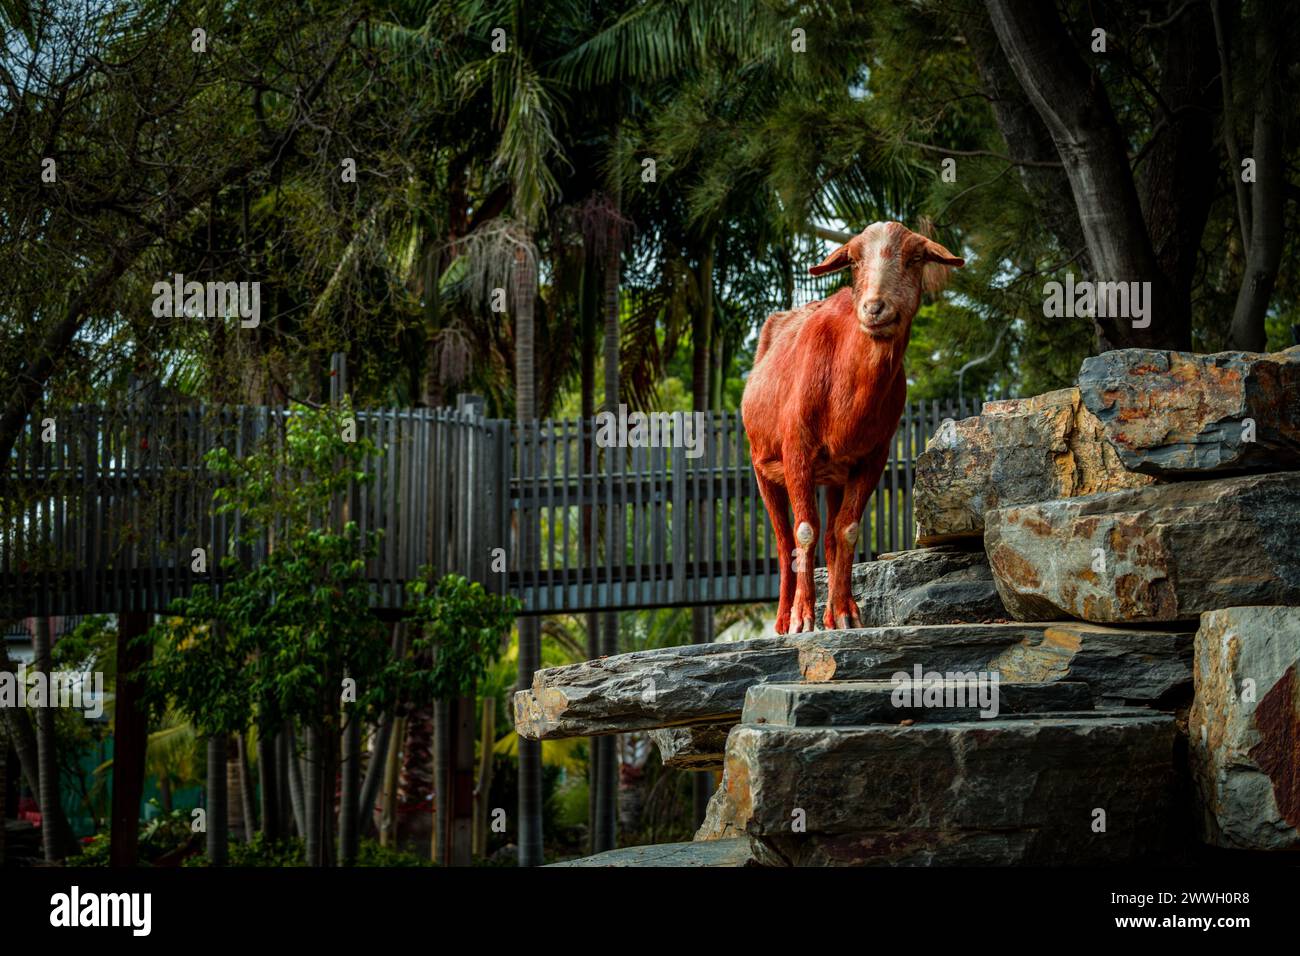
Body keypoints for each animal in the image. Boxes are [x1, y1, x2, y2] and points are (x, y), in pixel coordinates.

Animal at [741, 222, 964, 633]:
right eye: (854, 261)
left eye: (915, 258)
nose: (875, 308)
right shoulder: (797, 449)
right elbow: (804, 530)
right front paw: (802, 619)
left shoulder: (872, 456)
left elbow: (847, 529)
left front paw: (846, 614)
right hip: (762, 465)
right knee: (783, 541)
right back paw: (783, 619)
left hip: (833, 475)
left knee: (830, 535)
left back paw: (831, 614)